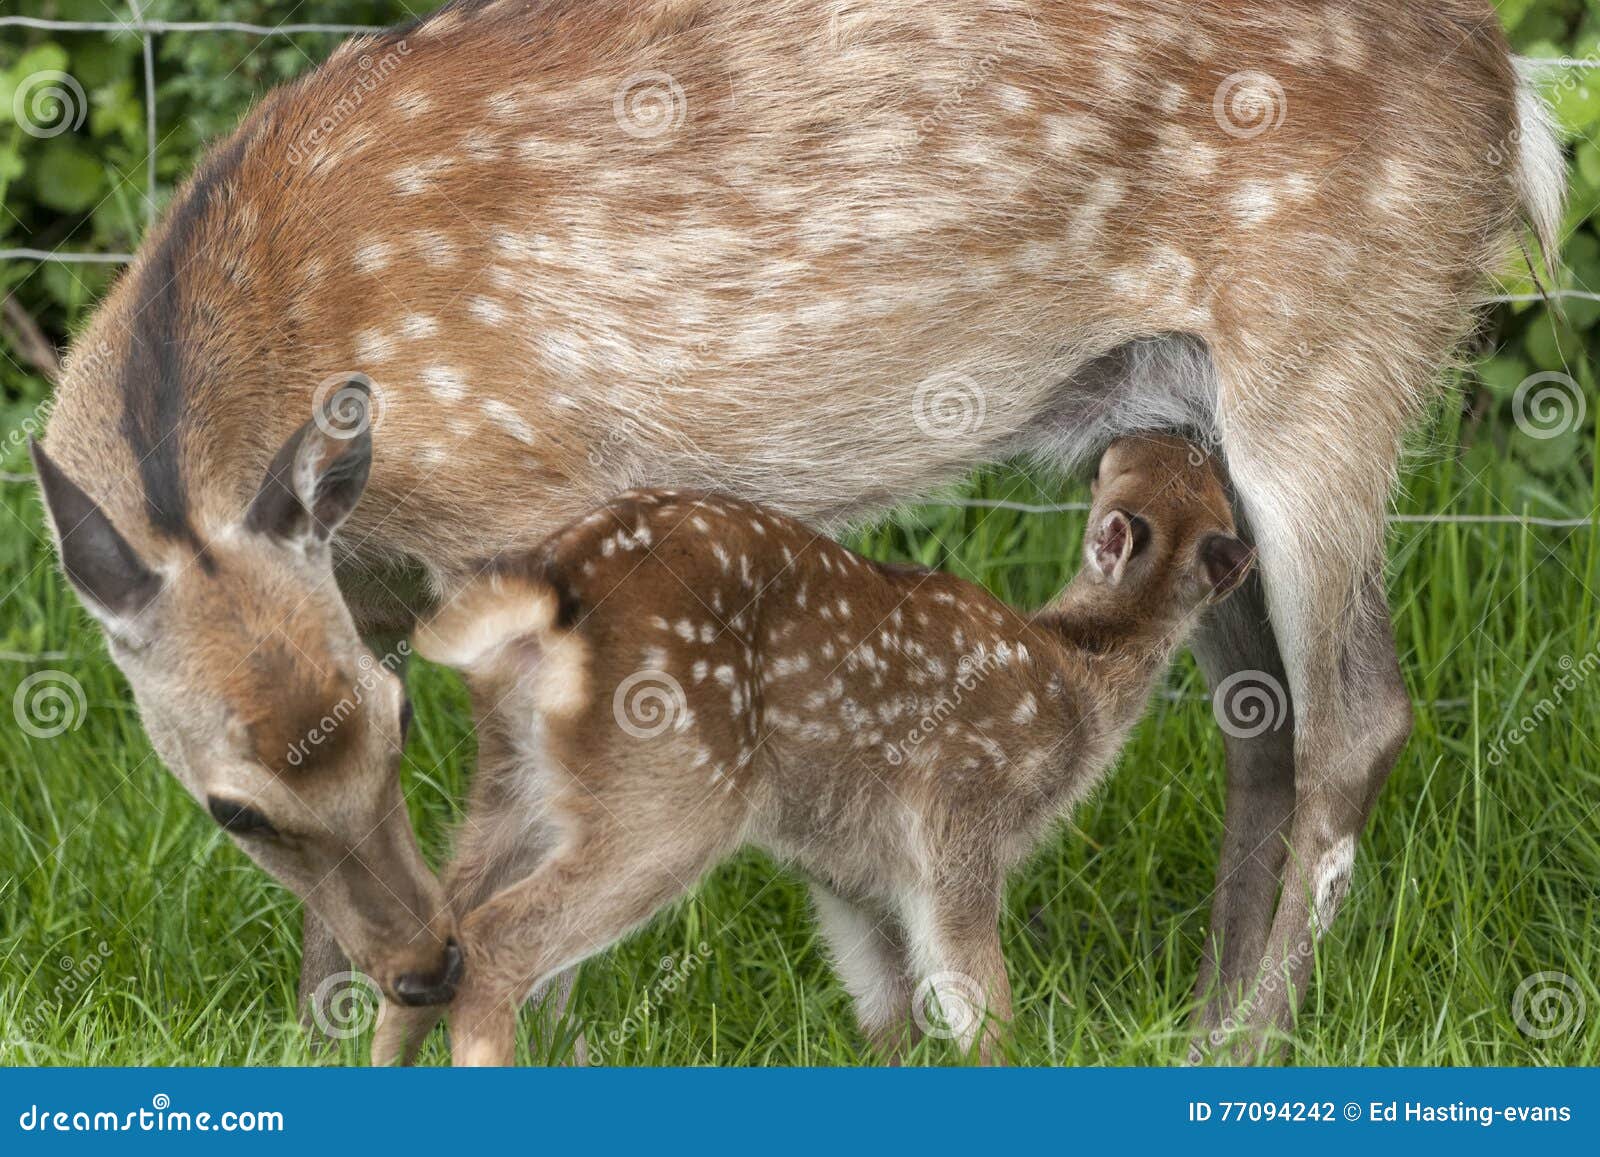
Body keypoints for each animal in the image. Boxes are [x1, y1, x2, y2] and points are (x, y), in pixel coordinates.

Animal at [382, 434, 1252, 1066]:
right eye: (1117, 465)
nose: (1153, 429)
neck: (1079, 666)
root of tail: (545, 587)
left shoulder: (852, 874)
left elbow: (889, 1013)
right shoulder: (959, 823)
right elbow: (976, 1003)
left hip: (511, 778)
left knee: (434, 930)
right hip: (669, 786)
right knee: (496, 939)